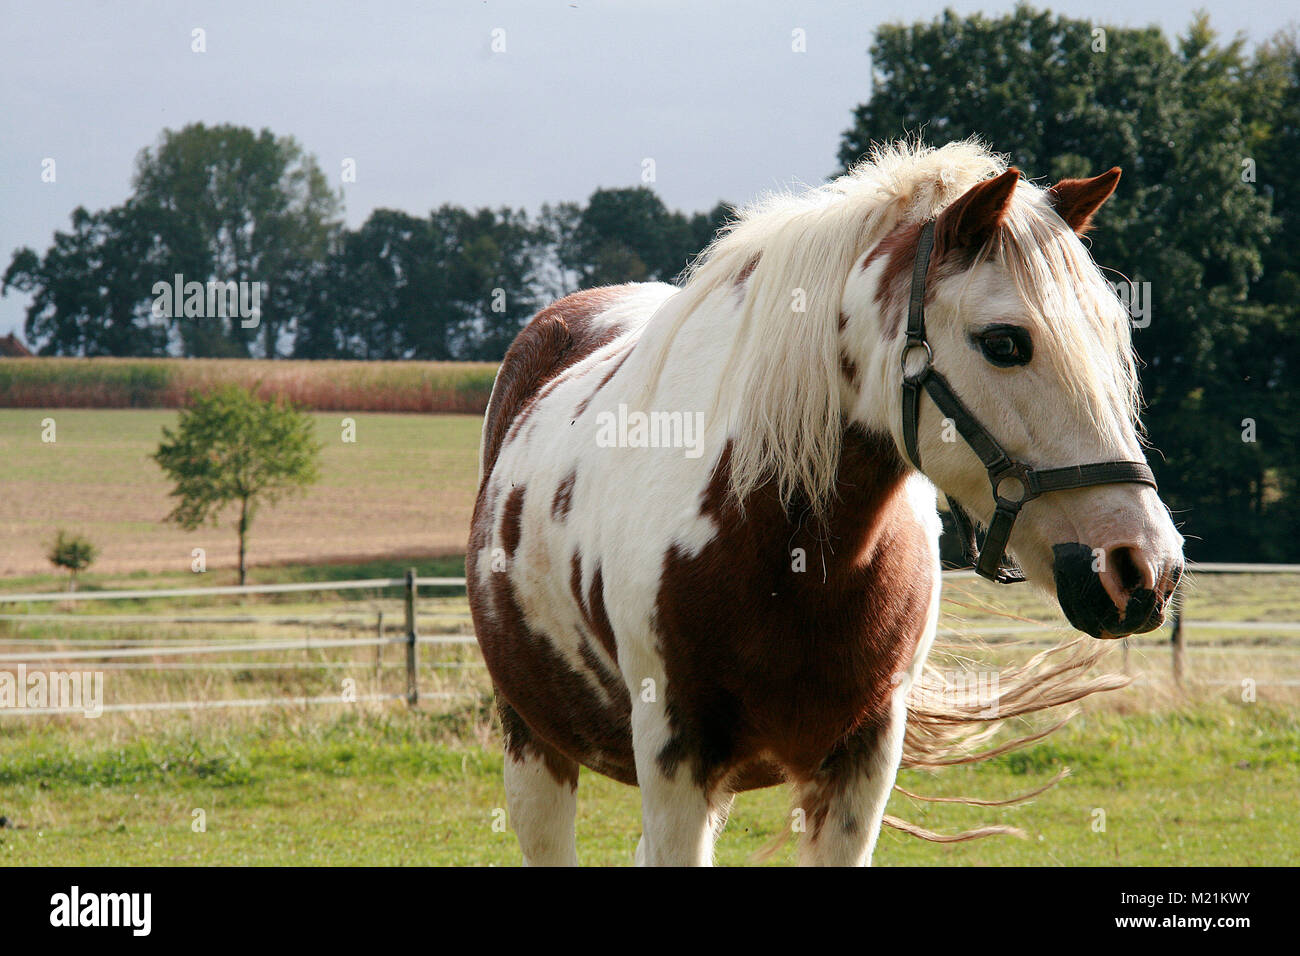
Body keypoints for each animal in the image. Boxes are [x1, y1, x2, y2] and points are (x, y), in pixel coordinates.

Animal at [467, 140, 1184, 866]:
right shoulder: (674, 758)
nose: (1145, 567)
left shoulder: (860, 763)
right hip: (534, 743)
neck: (784, 552)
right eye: (1004, 342)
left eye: (1110, 333)